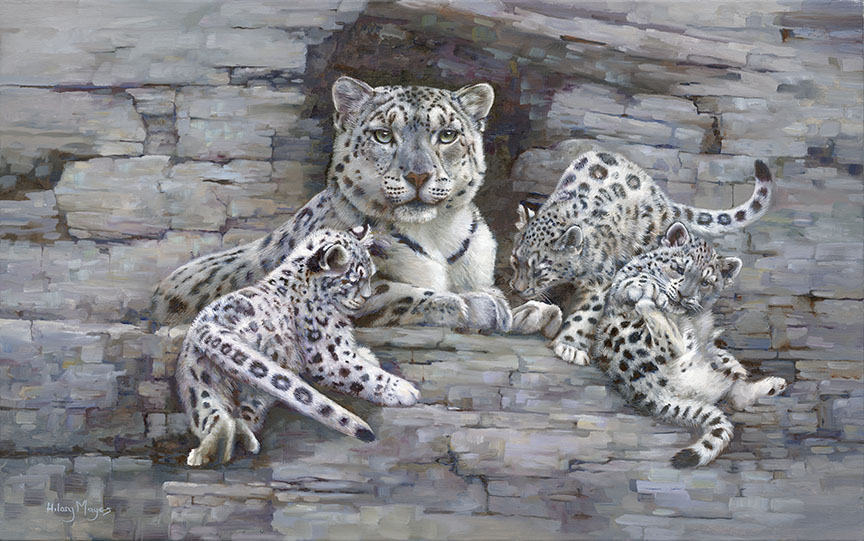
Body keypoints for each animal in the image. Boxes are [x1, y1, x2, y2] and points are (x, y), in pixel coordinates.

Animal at [152, 76, 511, 334]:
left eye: (447, 135)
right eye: (383, 135)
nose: (418, 175)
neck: (436, 234)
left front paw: (494, 300)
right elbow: (391, 291)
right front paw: (477, 306)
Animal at [176, 226, 420, 466]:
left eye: (370, 275)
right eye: (352, 280)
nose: (366, 297)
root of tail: (206, 326)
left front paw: (366, 353)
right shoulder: (328, 356)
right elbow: (362, 373)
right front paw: (403, 389)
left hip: (201, 381)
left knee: (217, 413)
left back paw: (220, 446)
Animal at [509, 150, 774, 364]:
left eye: (541, 269)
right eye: (514, 261)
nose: (517, 288)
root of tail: (661, 197)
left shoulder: (600, 279)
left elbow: (587, 312)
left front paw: (570, 346)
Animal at [591, 222, 787, 468]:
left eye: (705, 282)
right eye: (678, 268)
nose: (683, 295)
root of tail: (646, 392)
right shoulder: (623, 282)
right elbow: (631, 280)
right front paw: (648, 288)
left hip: (712, 360)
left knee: (732, 391)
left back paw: (772, 383)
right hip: (629, 334)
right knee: (673, 346)